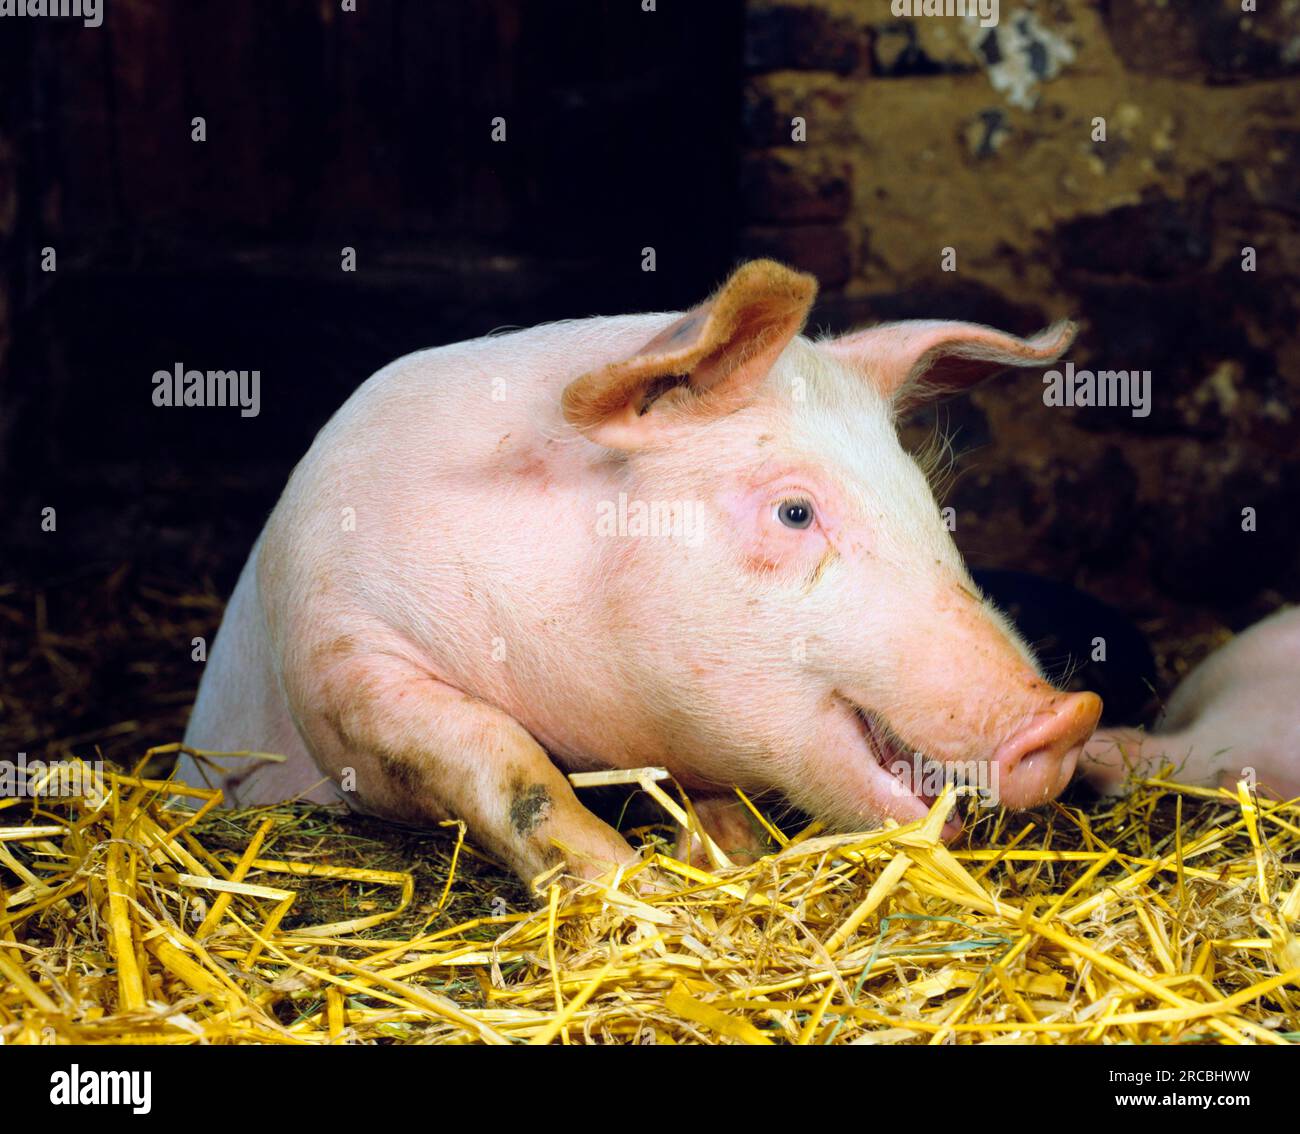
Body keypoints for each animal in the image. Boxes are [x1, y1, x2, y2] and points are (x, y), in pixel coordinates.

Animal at [177, 259, 1101, 885]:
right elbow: (503, 762)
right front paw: (638, 883)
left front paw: (719, 853)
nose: (1068, 717)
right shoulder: (337, 655)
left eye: (923, 497)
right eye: (794, 512)